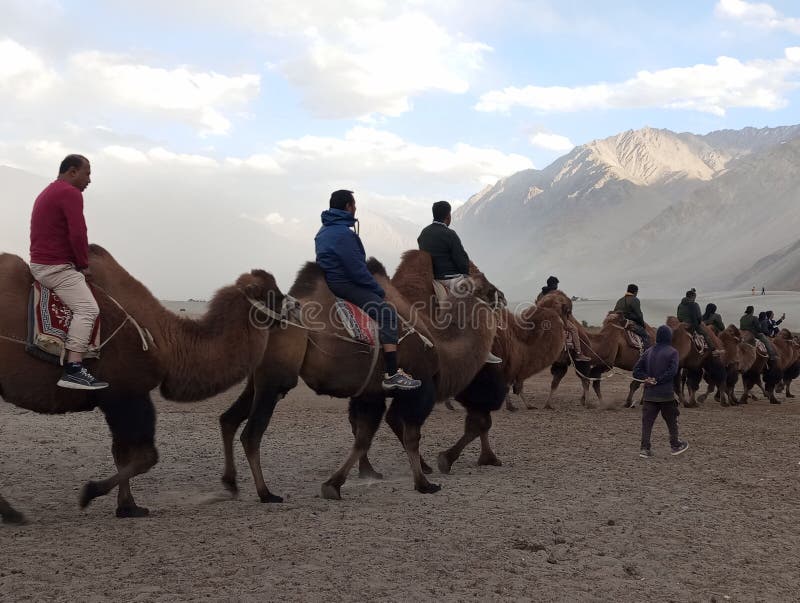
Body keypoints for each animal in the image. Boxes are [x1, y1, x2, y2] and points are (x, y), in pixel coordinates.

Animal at [0, 244, 290, 524]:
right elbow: (146, 455)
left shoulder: (122, 397)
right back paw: (12, 514)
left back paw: (11, 513)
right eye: (273, 293)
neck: (168, 344)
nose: (295, 306)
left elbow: (123, 453)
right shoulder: (126, 393)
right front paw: (90, 493)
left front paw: (128, 506)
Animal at [218, 251, 502, 503]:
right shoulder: (421, 390)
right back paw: (265, 493)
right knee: (251, 434)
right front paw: (424, 483)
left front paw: (334, 484)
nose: (497, 293)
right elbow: (410, 437)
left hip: (257, 379)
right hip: (276, 378)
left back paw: (231, 484)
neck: (441, 349)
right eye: (471, 281)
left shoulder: (371, 393)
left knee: (228, 419)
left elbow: (362, 439)